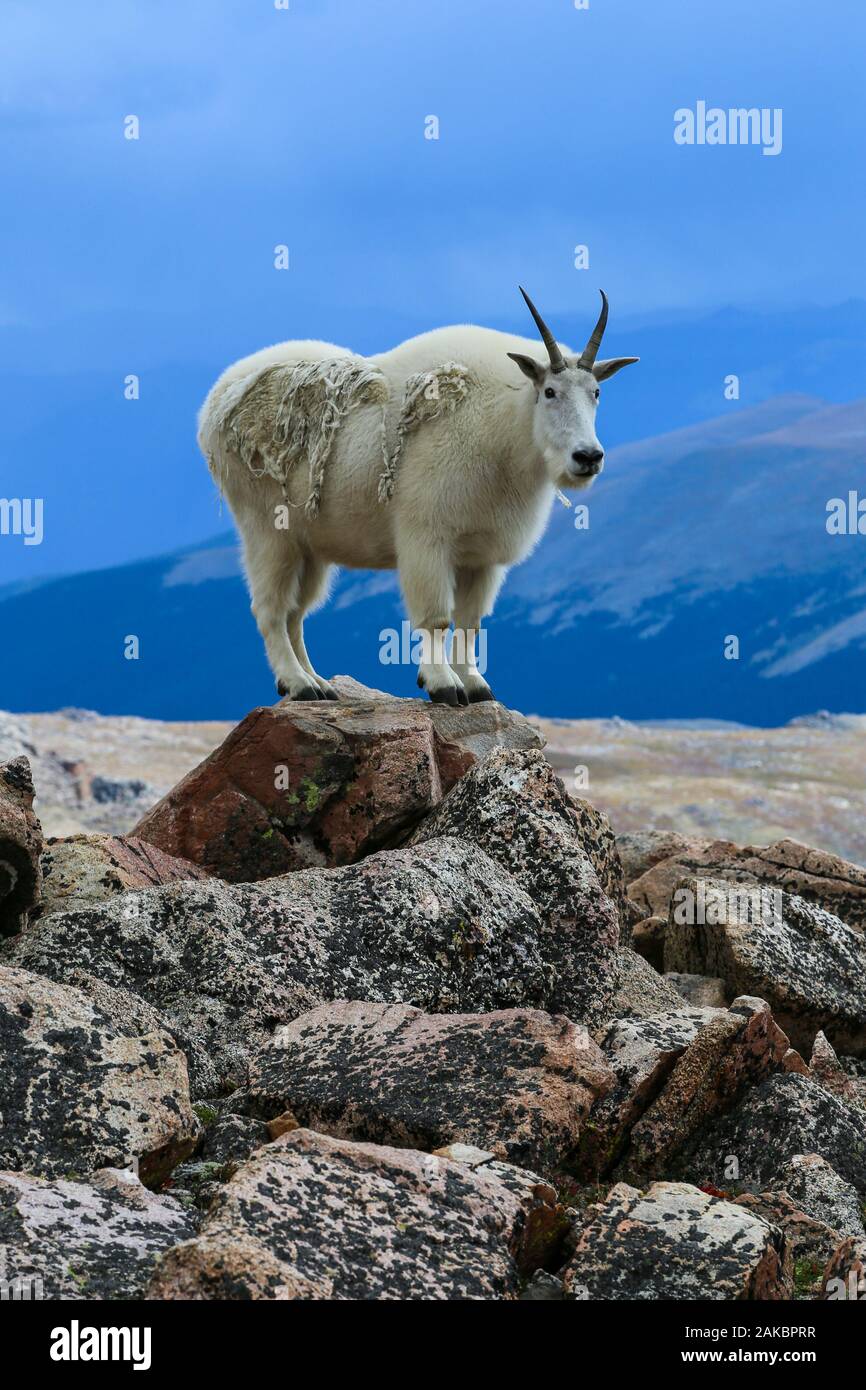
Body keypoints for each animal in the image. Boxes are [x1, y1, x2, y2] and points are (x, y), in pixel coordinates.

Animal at [199, 289, 638, 704]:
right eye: (549, 391)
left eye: (596, 392)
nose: (588, 457)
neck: (505, 429)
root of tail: (214, 403)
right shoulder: (428, 538)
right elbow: (436, 618)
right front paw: (442, 685)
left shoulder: (482, 555)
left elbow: (471, 622)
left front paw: (476, 684)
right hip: (268, 528)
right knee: (270, 609)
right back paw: (298, 683)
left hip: (310, 545)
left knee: (296, 612)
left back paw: (319, 683)